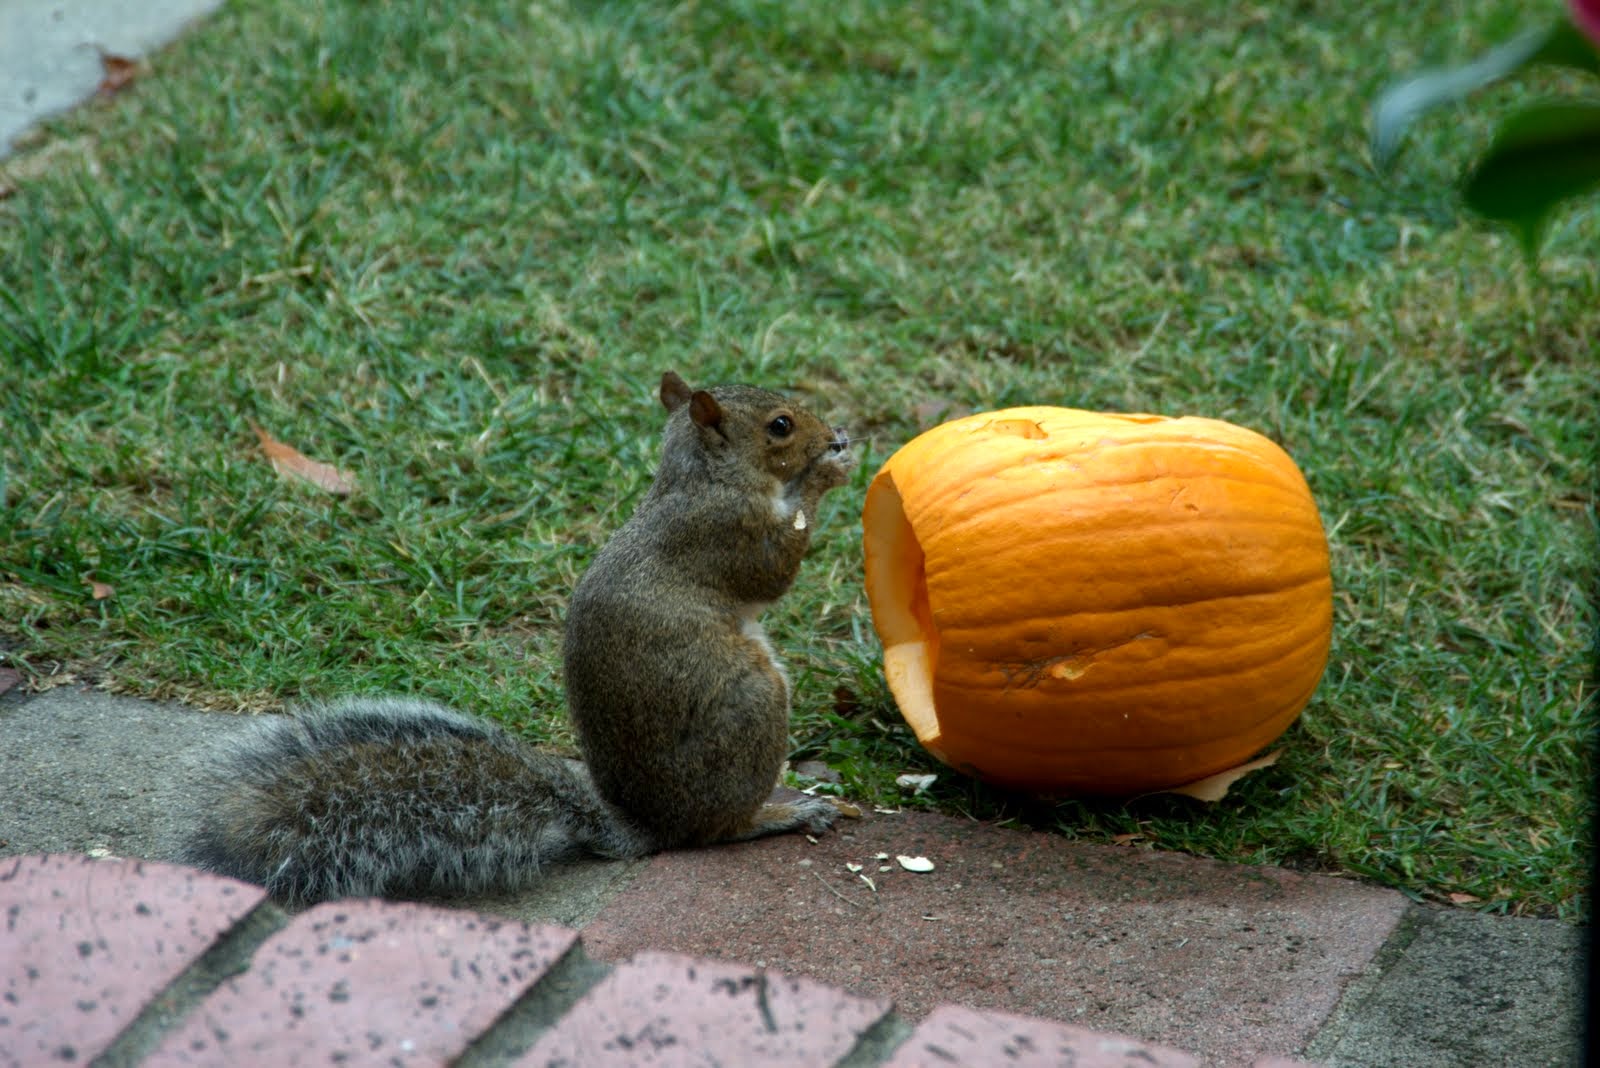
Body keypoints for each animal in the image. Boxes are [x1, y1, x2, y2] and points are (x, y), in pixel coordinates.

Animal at [182, 371, 856, 906]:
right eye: (780, 425)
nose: (834, 436)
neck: (703, 478)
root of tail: (652, 826)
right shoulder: (726, 532)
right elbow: (774, 569)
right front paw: (826, 475)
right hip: (751, 707)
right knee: (718, 830)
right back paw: (782, 813)